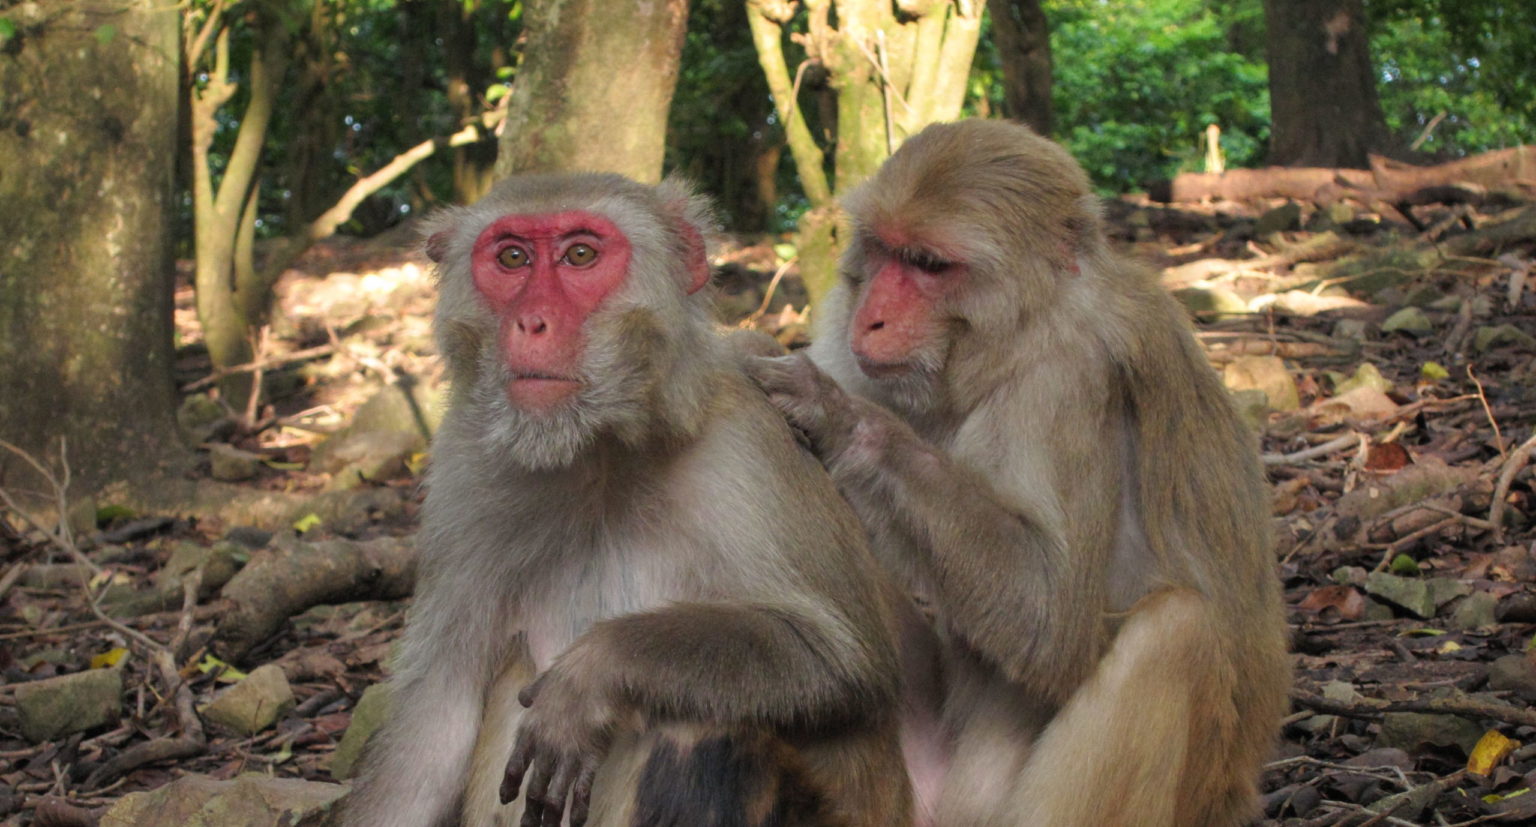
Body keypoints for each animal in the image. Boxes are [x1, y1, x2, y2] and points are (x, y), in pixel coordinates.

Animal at [338, 172, 920, 827]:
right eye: (511, 258)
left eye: (580, 255)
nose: (531, 322)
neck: (600, 453)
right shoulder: (465, 467)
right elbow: (435, 728)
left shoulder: (746, 445)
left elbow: (842, 661)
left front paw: (591, 673)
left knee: (705, 723)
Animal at [747, 119, 1290, 827]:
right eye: (884, 251)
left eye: (928, 264)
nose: (871, 316)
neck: (1017, 333)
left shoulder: (1066, 381)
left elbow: (1051, 618)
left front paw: (837, 416)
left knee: (1176, 632)